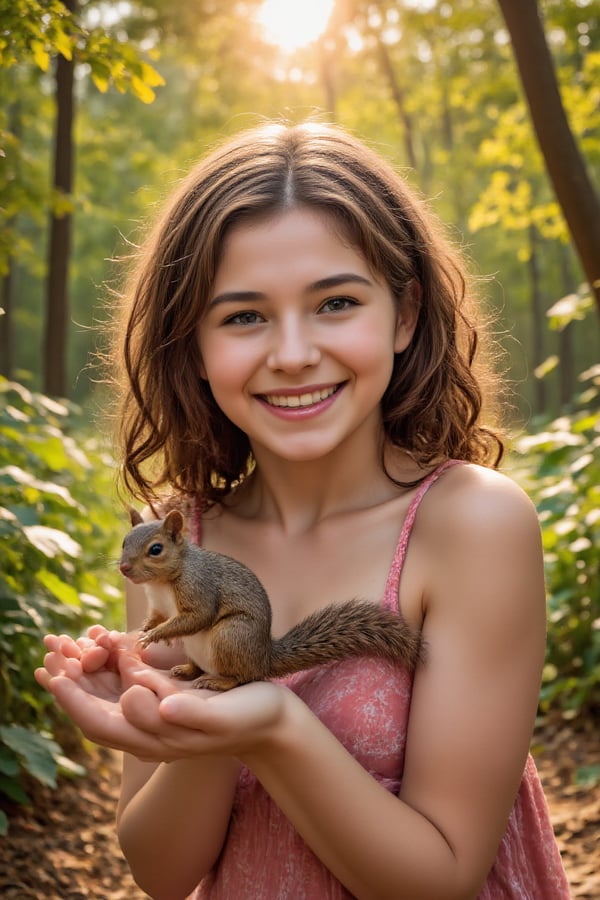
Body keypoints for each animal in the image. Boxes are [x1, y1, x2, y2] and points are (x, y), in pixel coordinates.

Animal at [119, 507, 424, 692]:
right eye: (124, 542)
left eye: (155, 549)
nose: (123, 568)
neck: (160, 584)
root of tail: (263, 658)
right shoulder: (159, 604)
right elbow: (158, 617)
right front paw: (146, 628)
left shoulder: (199, 587)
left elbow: (199, 616)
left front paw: (154, 635)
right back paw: (185, 670)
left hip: (232, 635)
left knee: (242, 678)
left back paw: (218, 683)